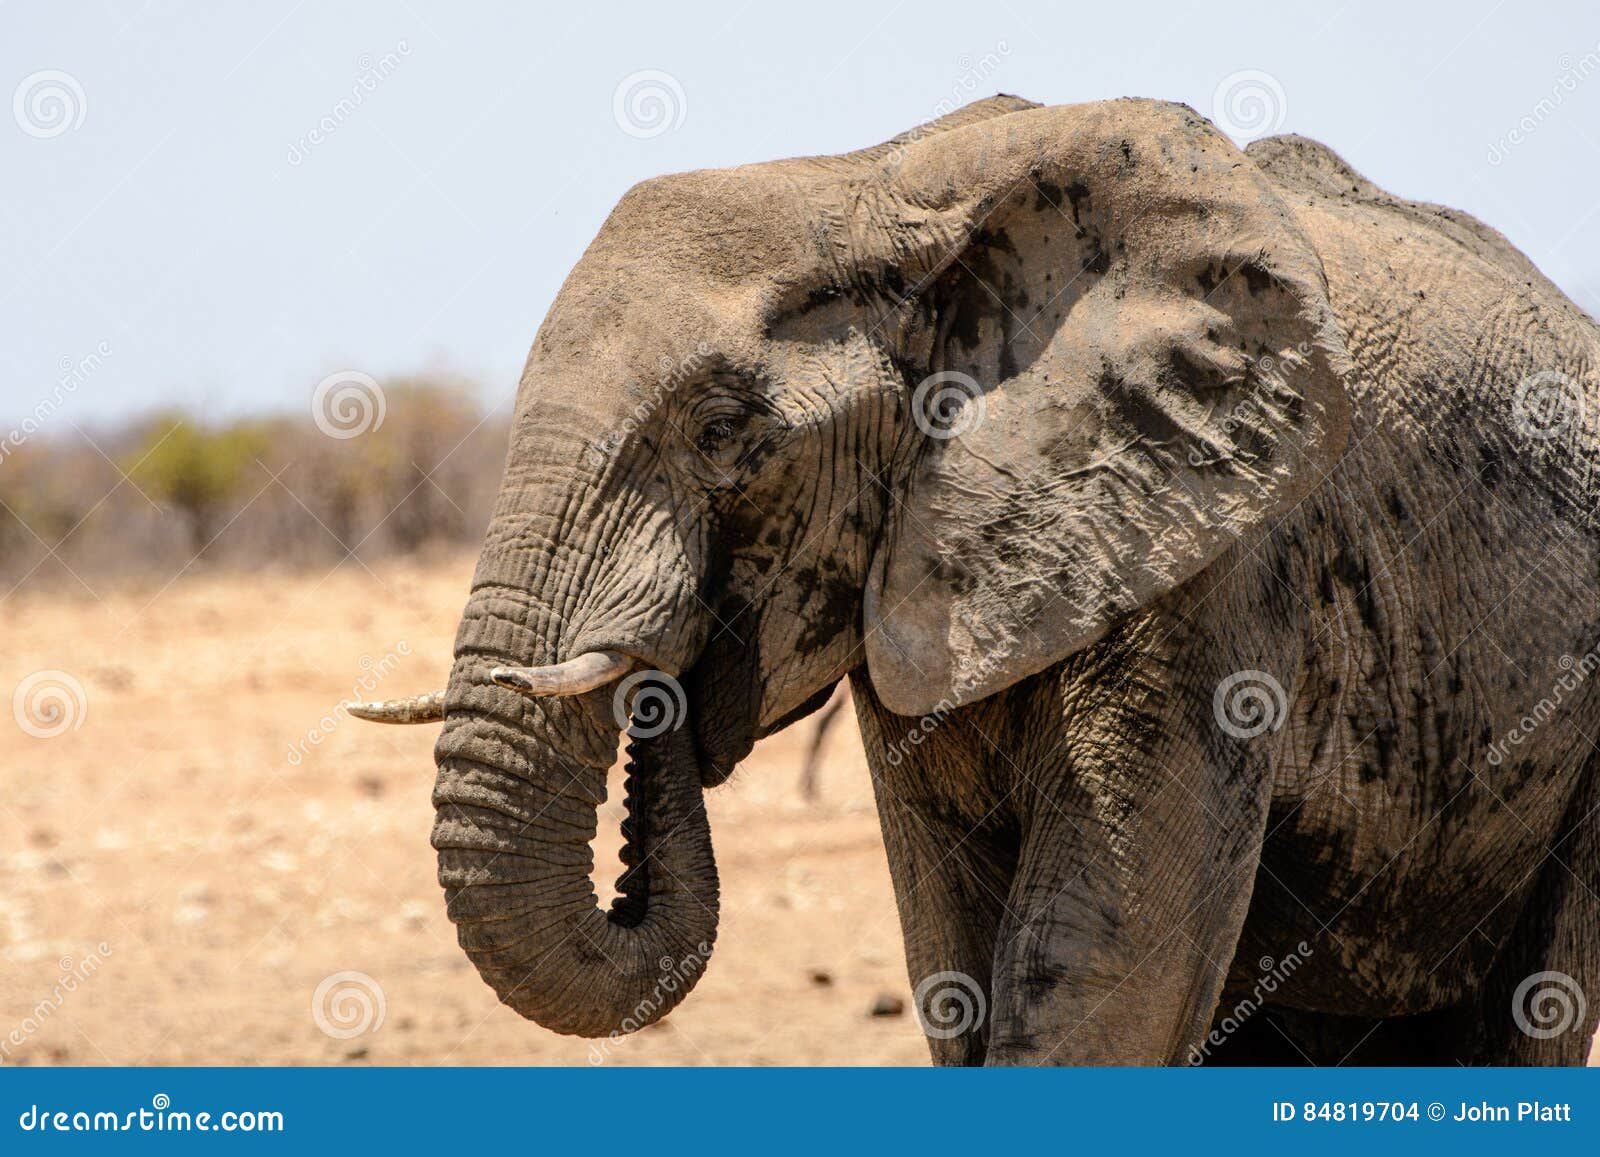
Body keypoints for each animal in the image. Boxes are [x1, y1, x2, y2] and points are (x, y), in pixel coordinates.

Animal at [351, 94, 1600, 1065]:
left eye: (720, 430)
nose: (670, 685)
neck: (869, 182)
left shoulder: (1215, 562)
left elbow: (1102, 972)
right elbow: (956, 958)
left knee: (1531, 1006)